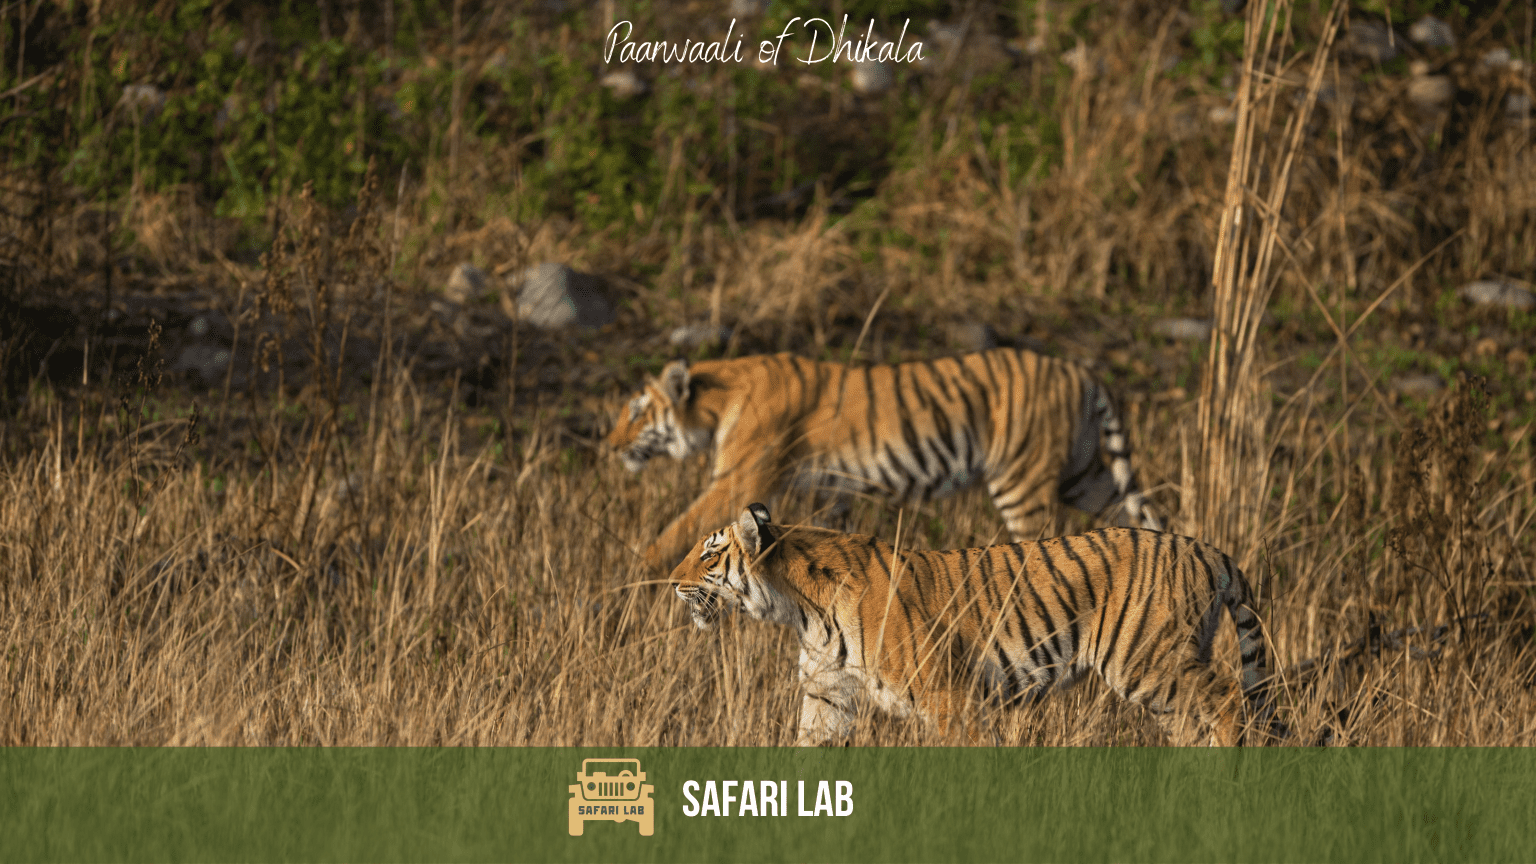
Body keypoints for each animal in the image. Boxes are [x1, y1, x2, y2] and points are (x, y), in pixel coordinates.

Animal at [607, 349, 1160, 575]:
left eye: (635, 412)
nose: (609, 447)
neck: (717, 400)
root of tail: (1082, 372)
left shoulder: (737, 478)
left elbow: (677, 530)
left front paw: (629, 577)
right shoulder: (829, 493)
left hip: (1023, 482)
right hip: (1086, 476)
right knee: (1136, 517)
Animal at [671, 504, 1278, 747]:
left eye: (709, 554)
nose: (670, 582)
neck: (802, 610)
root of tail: (1206, 548)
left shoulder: (950, 696)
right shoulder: (829, 696)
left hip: (1147, 659)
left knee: (1229, 698)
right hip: (1162, 682)